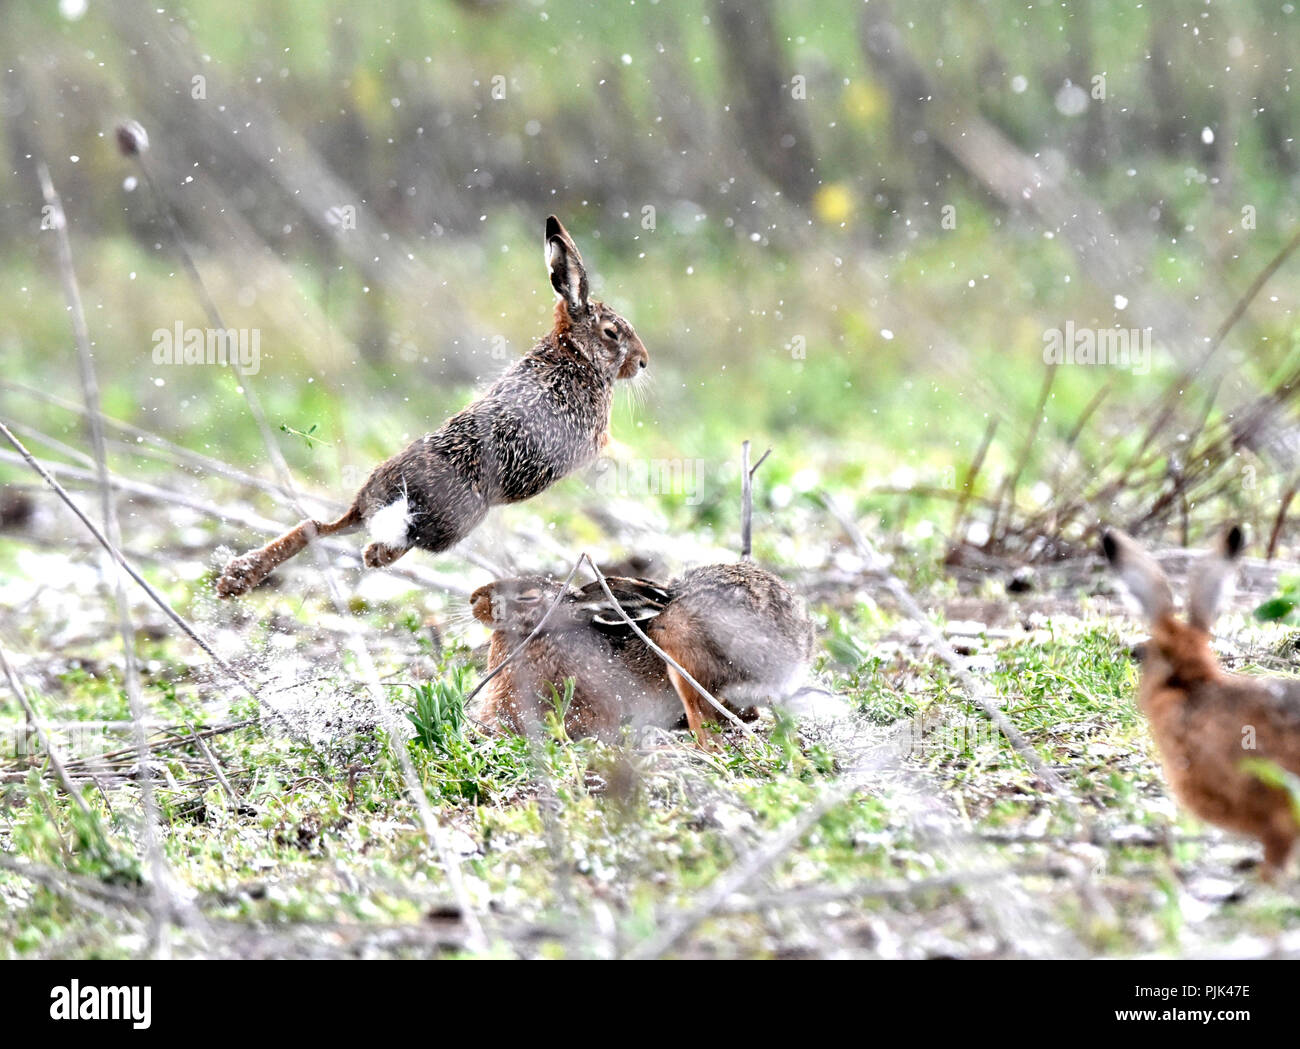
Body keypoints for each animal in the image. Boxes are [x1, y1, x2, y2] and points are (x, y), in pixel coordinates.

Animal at [216, 216, 649, 598]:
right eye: (612, 333)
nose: (642, 362)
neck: (575, 354)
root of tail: (399, 494)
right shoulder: (592, 438)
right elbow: (615, 448)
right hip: (452, 524)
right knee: (378, 551)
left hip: (370, 500)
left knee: (317, 526)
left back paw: (236, 578)